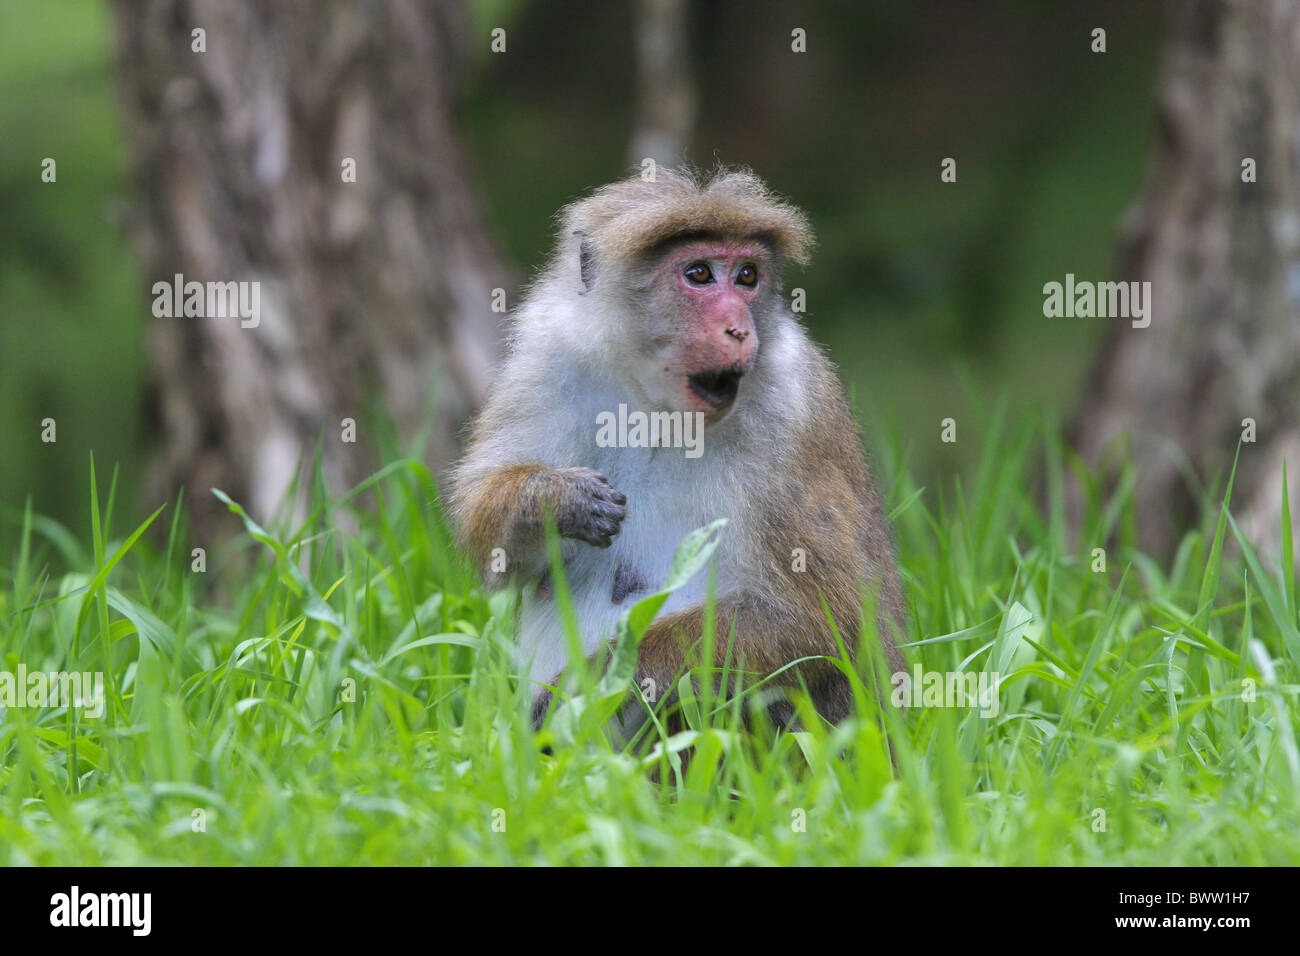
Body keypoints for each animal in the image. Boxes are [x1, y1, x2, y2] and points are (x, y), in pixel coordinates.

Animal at [446, 166, 907, 740]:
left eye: (748, 276)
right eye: (699, 273)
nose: (739, 328)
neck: (658, 407)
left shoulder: (796, 413)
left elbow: (824, 618)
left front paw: (594, 679)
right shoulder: (544, 363)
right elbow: (492, 542)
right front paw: (556, 501)